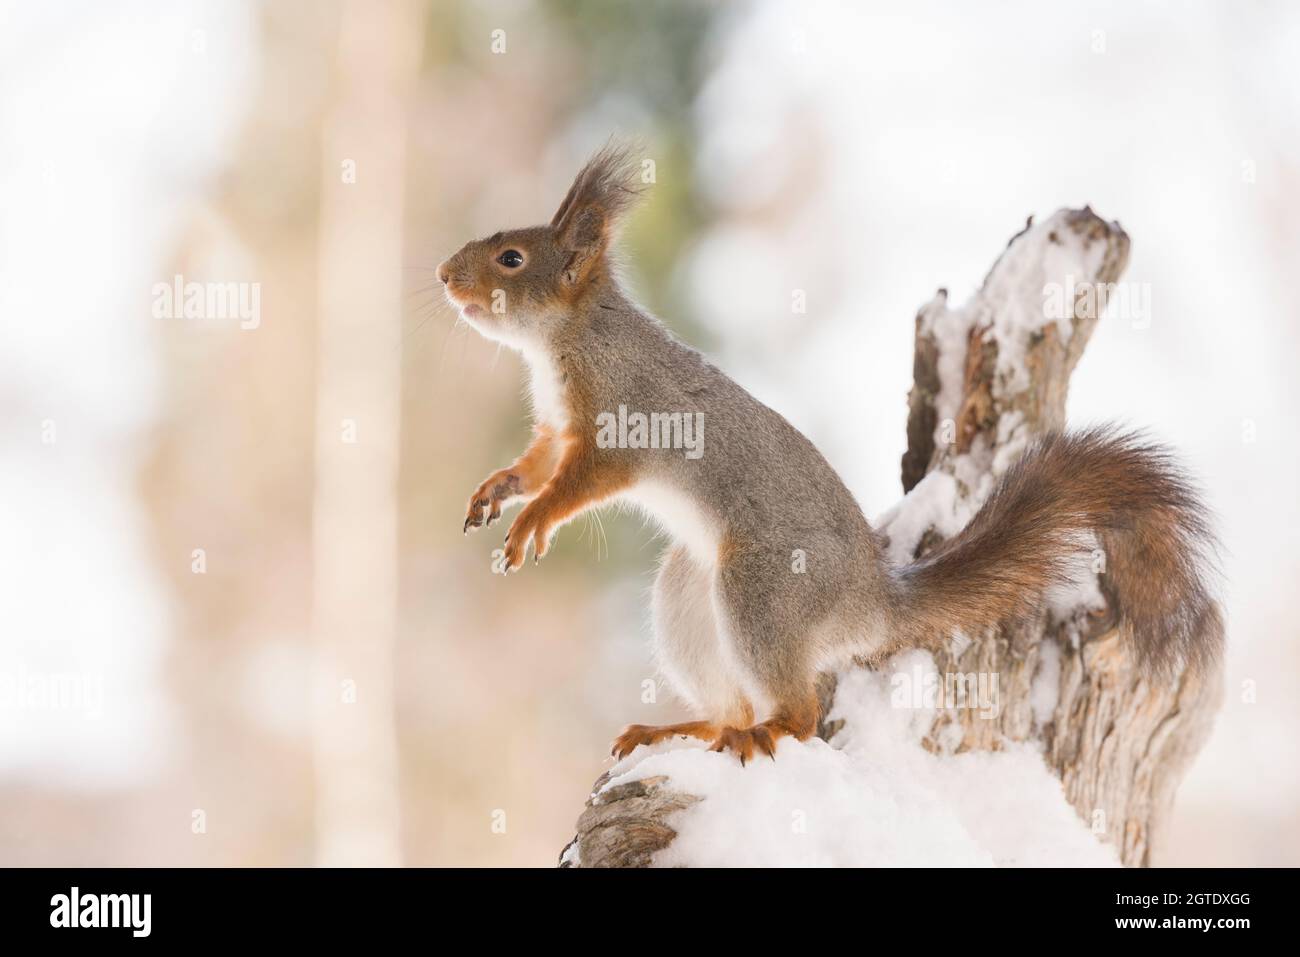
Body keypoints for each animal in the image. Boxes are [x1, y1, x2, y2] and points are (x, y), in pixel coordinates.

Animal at [437, 143, 1222, 764]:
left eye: (511, 258)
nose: (444, 274)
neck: (565, 341)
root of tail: (870, 604)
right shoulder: (557, 429)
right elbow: (537, 465)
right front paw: (496, 491)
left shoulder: (620, 421)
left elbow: (580, 482)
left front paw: (535, 520)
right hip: (689, 597)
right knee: (732, 705)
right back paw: (684, 730)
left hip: (763, 589)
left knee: (804, 715)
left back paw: (765, 731)